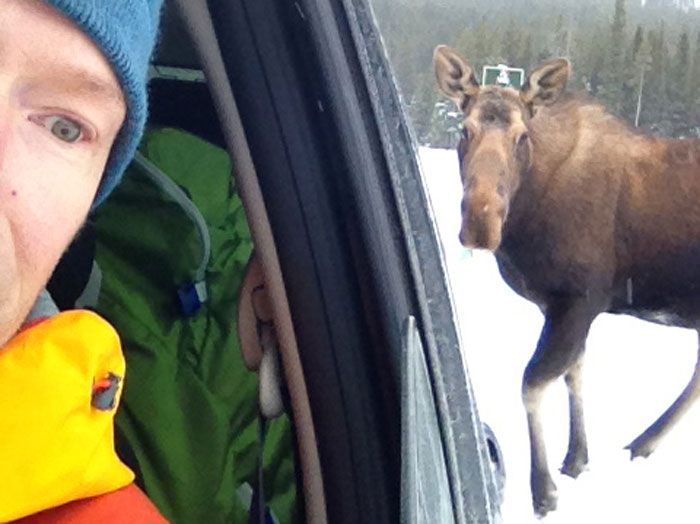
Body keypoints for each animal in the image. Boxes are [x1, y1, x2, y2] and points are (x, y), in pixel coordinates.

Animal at [433, 44, 700, 517]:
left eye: (522, 136)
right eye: (464, 130)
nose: (480, 223)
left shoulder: (579, 298)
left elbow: (534, 381)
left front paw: (543, 490)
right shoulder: (561, 307)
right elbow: (574, 372)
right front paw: (577, 458)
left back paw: (643, 442)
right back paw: (643, 443)